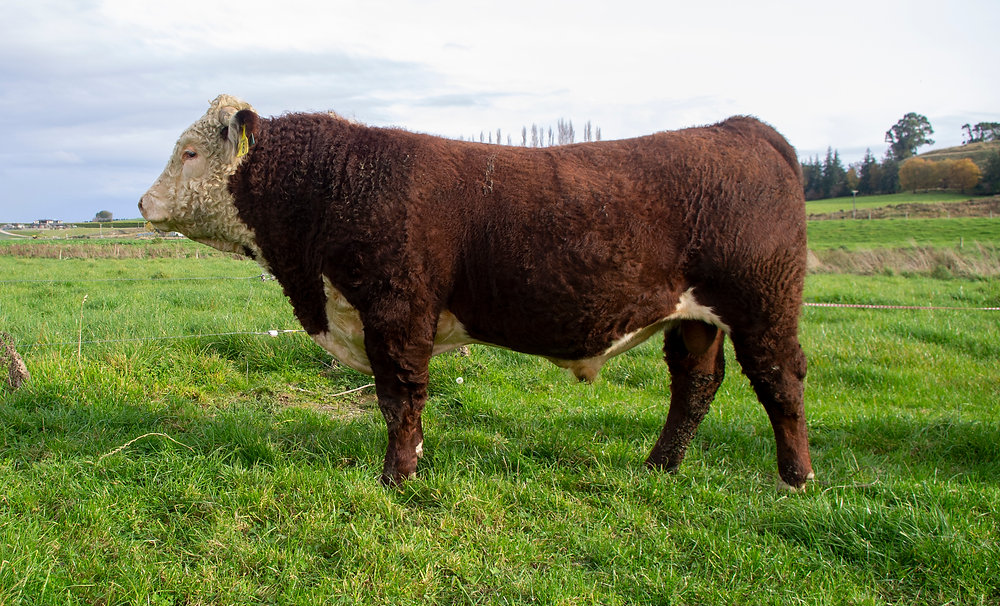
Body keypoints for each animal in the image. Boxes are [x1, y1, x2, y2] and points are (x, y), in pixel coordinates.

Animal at [140, 95, 814, 490]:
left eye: (191, 152)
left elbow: (400, 398)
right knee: (695, 383)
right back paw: (660, 468)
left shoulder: (396, 309)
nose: (144, 203)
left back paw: (795, 477)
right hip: (697, 315)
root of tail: (741, 129)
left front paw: (397, 479)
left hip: (764, 302)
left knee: (780, 380)